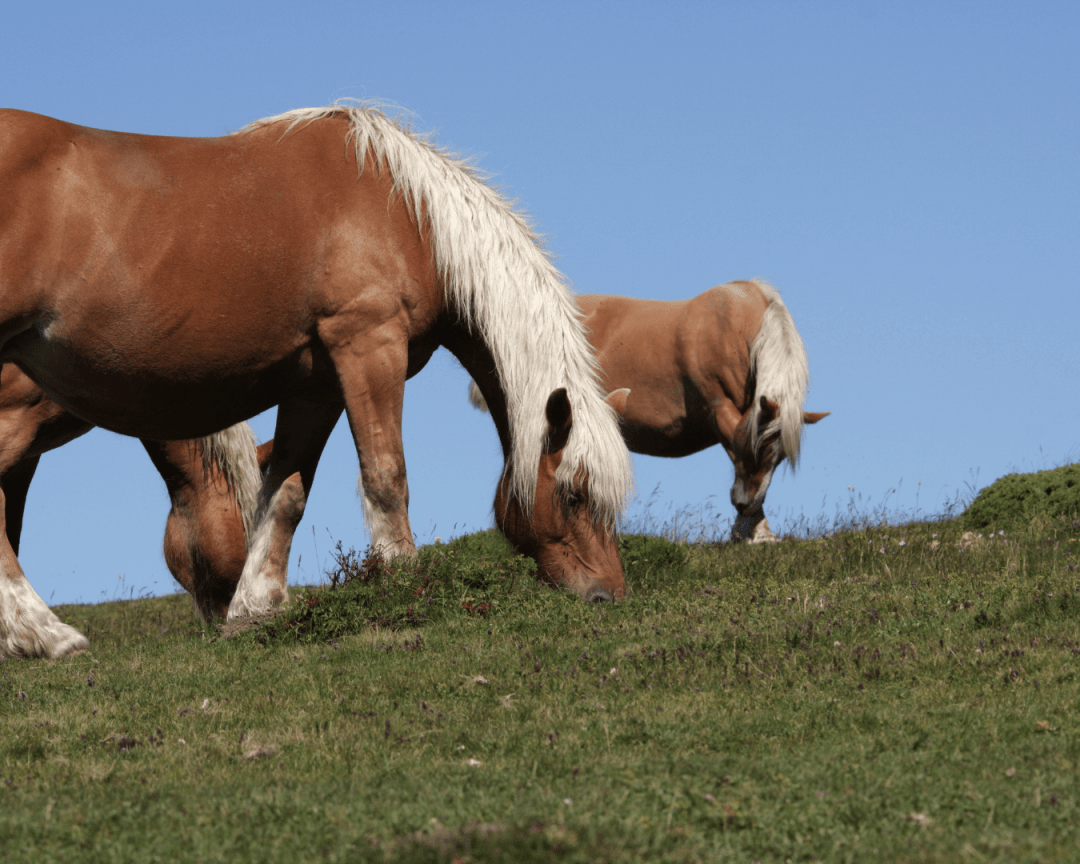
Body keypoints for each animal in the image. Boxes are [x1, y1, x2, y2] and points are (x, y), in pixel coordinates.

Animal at [470, 280, 827, 542]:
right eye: (758, 449)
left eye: (778, 458)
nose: (744, 503)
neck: (736, 327)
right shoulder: (722, 411)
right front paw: (754, 532)